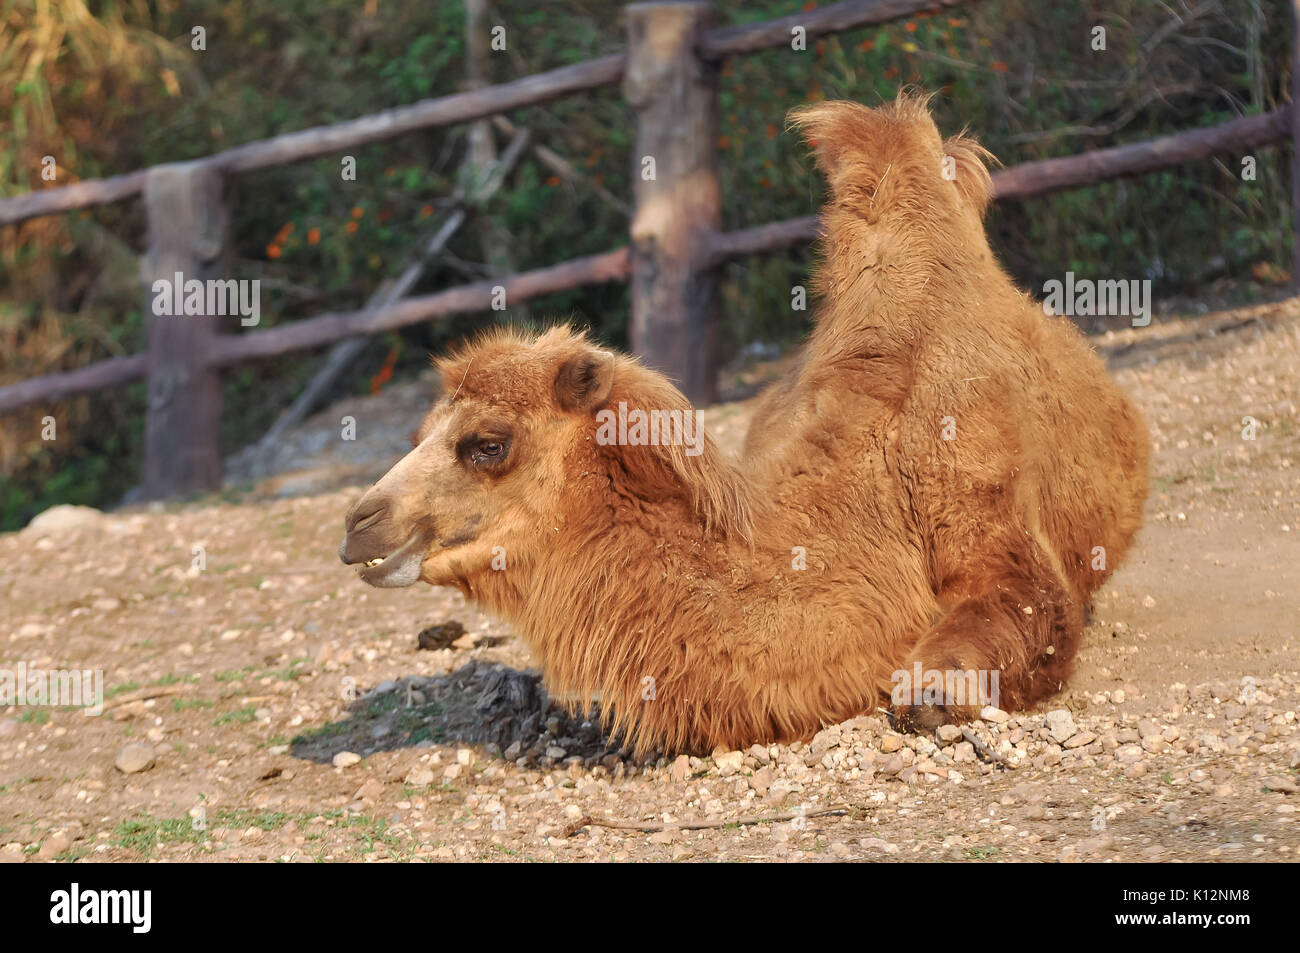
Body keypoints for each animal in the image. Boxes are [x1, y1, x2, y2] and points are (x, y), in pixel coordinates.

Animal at [339, 93, 1149, 755]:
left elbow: (1019, 619)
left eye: (488, 444)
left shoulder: (990, 509)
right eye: (417, 433)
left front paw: (933, 691)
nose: (359, 524)